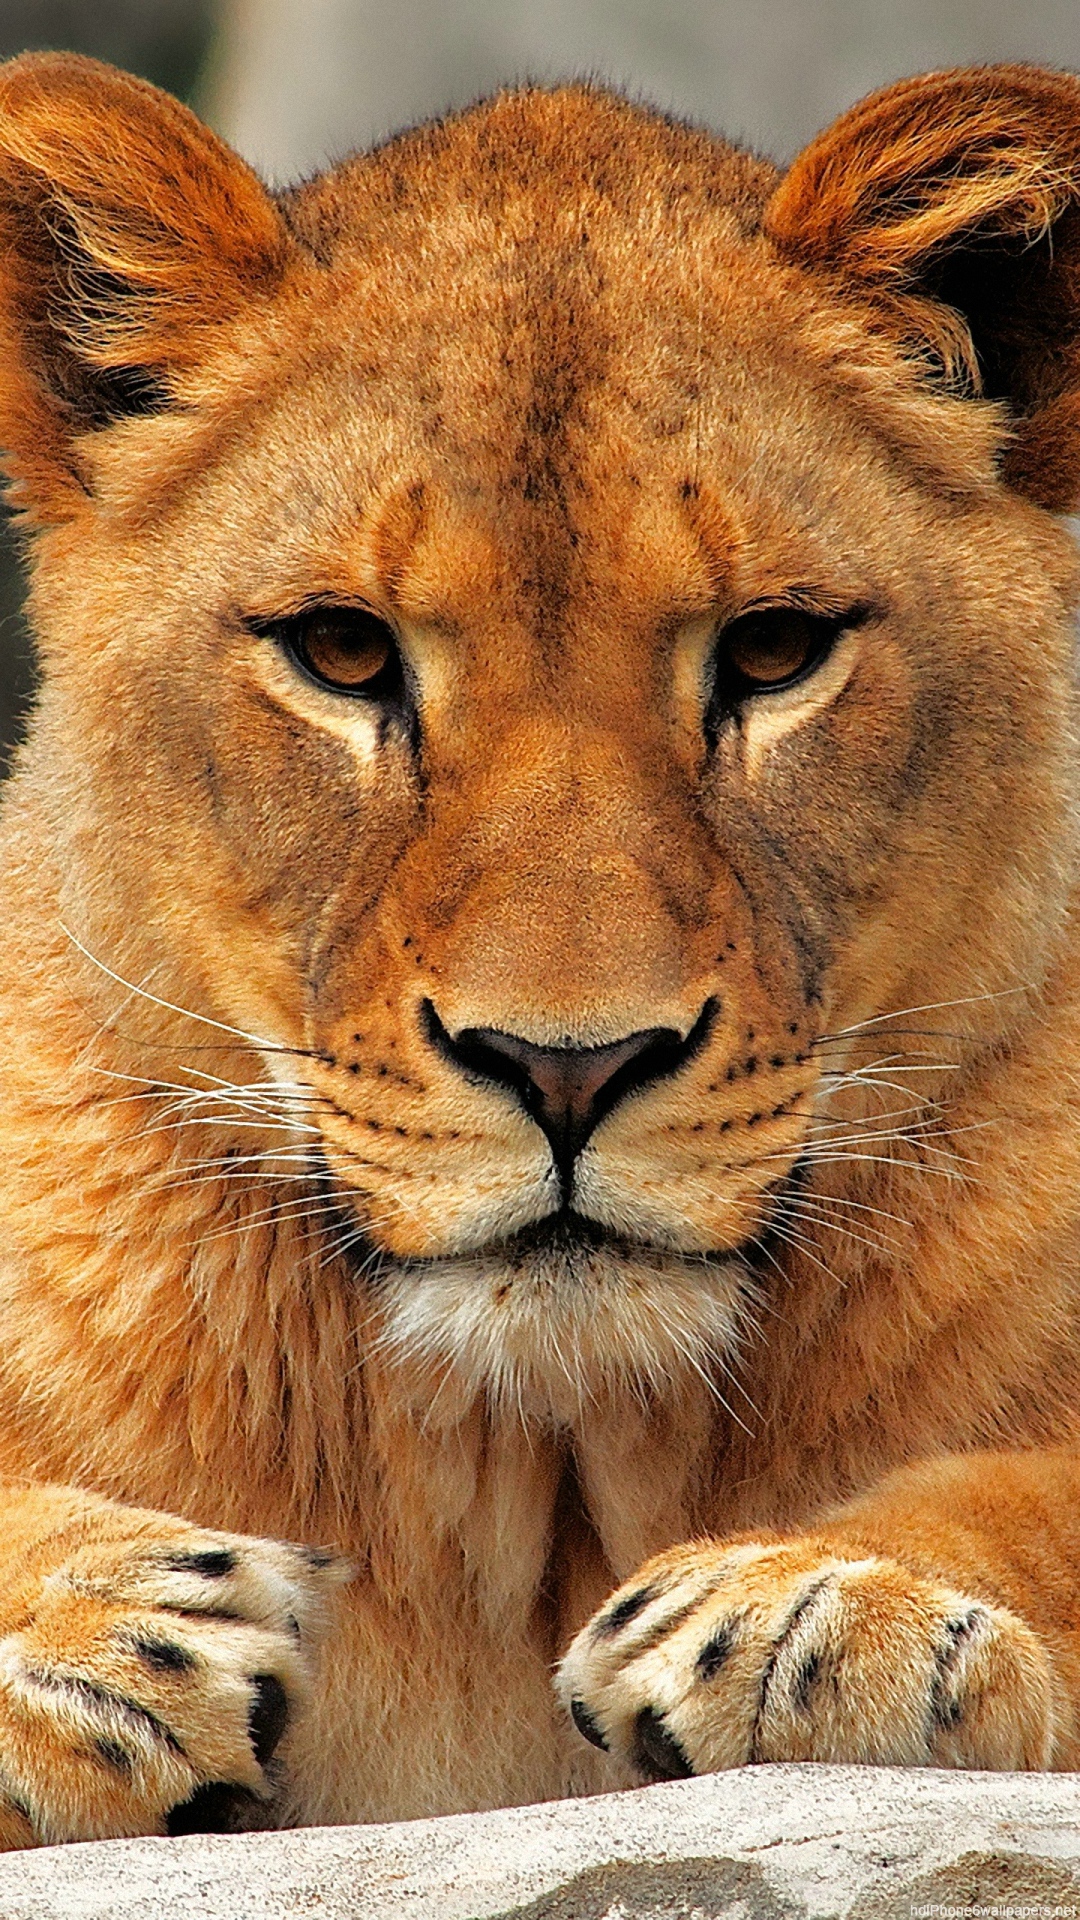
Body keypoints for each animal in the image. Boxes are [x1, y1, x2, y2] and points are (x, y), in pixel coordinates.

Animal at [0, 50, 1077, 1848]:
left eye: (773, 653)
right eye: (341, 652)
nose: (567, 1067)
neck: (542, 1471)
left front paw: (838, 1599)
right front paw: (98, 1629)